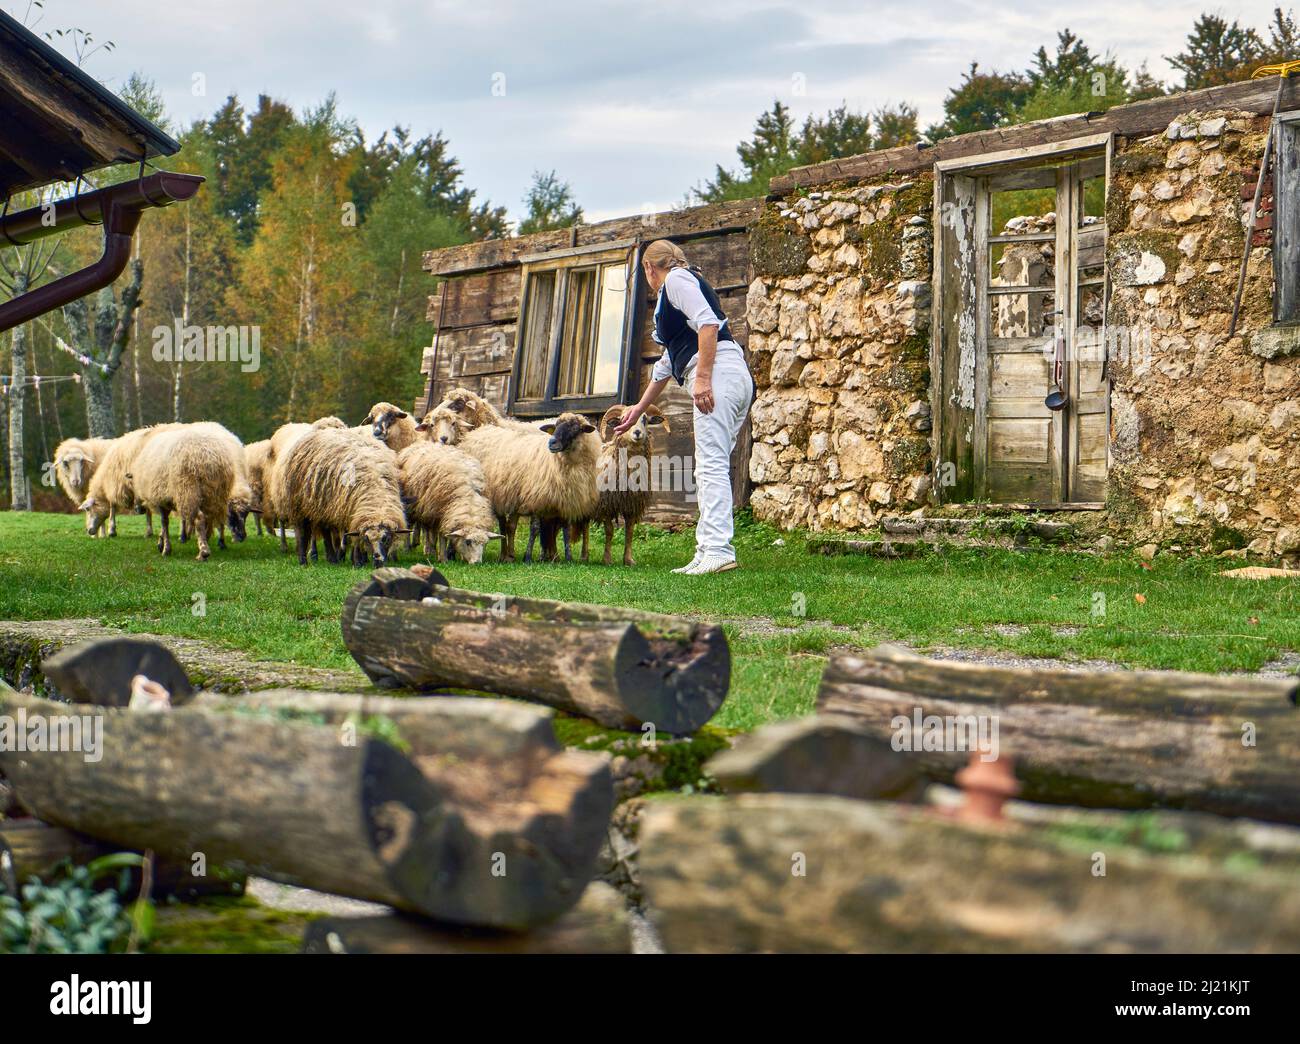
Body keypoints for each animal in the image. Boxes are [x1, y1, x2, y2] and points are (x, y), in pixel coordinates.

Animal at [126, 426, 235, 561]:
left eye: (132, 485)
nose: (138, 509)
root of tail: (207, 455)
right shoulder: (166, 499)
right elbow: (164, 525)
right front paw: (161, 543)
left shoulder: (161, 499)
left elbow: (164, 522)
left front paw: (166, 549)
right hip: (214, 495)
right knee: (210, 520)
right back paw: (206, 543)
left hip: (188, 491)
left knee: (199, 519)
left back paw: (203, 552)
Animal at [279, 425, 408, 567]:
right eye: (367, 539)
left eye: (386, 538)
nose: (378, 560)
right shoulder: (350, 511)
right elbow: (354, 539)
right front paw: (357, 562)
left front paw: (357, 560)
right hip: (299, 504)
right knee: (301, 532)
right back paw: (303, 561)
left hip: (324, 508)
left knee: (325, 533)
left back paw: (332, 559)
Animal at [571, 403, 669, 566]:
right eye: (624, 420)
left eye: (645, 419)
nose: (637, 432)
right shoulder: (606, 504)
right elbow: (609, 531)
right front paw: (607, 559)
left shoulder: (631, 505)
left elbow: (629, 532)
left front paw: (628, 560)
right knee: (585, 528)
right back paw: (584, 556)